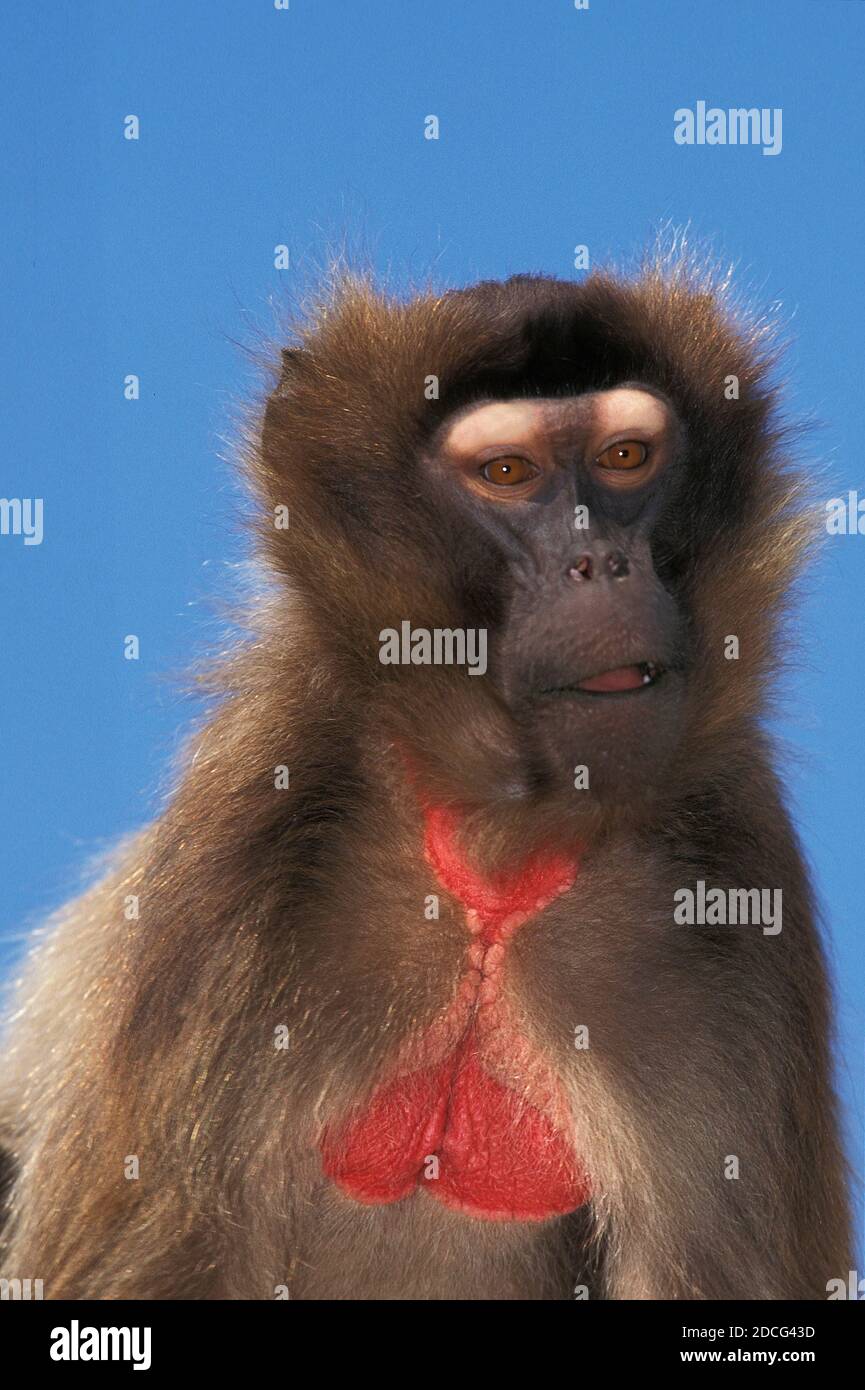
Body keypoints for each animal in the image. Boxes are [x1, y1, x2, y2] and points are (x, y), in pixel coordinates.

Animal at [0, 259, 852, 1300]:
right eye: (507, 473)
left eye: (624, 457)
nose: (601, 563)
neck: (497, 870)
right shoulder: (242, 854)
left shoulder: (735, 903)